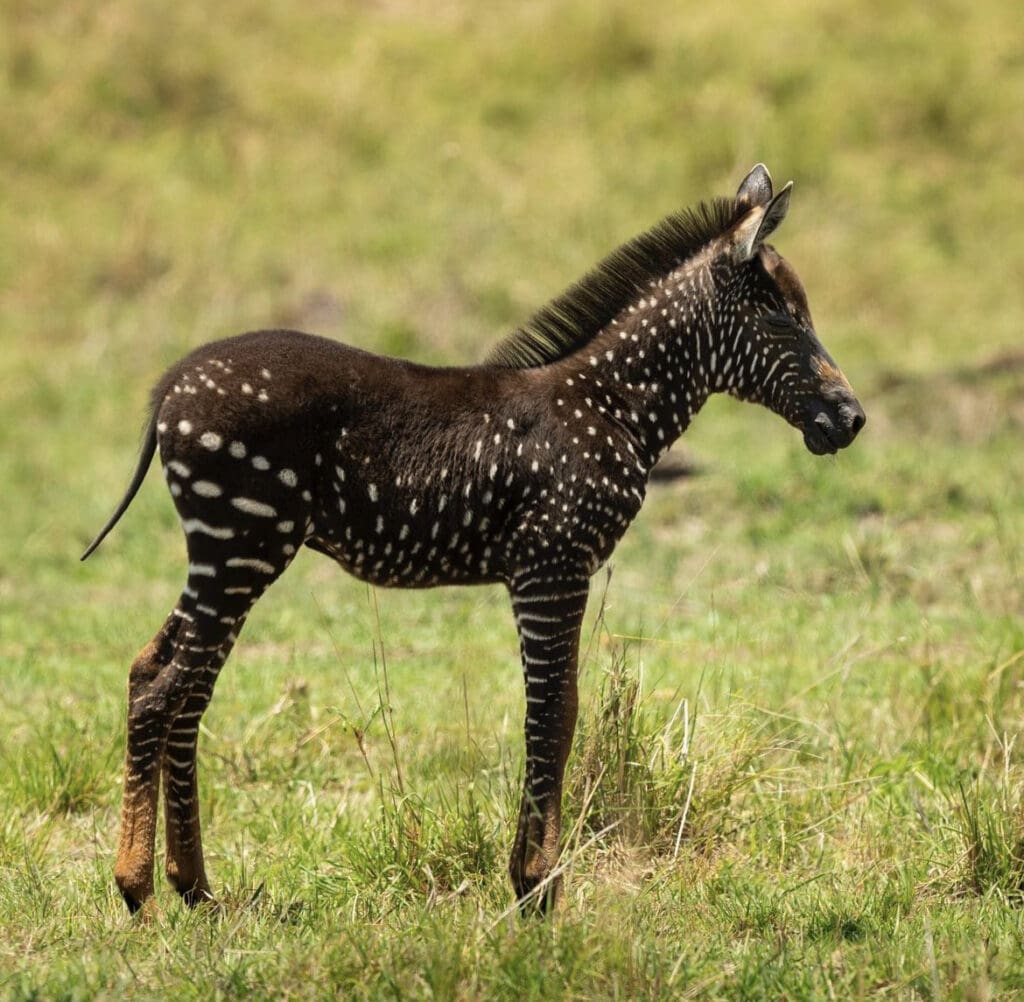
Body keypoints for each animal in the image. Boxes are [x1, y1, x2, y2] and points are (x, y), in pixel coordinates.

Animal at [82, 164, 865, 915]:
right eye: (780, 314)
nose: (852, 419)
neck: (610, 406)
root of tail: (171, 387)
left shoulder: (546, 573)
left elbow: (554, 712)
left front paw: (530, 881)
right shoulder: (553, 568)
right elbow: (555, 715)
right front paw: (536, 888)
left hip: (228, 553)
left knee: (161, 677)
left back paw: (194, 888)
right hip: (241, 543)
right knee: (166, 691)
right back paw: (138, 888)